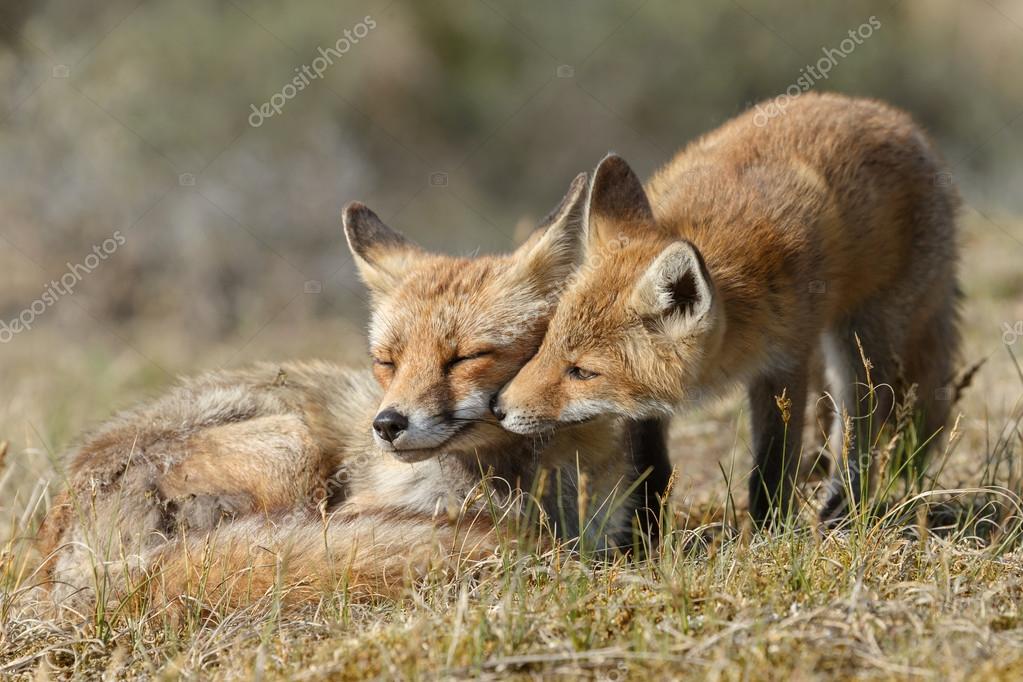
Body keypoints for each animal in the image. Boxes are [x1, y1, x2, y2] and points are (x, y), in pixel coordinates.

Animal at [34, 175, 671, 613]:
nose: (386, 425)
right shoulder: (363, 507)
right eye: (386, 361)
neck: (521, 488)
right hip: (291, 445)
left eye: (465, 357)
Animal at [494, 93, 960, 525]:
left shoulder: (784, 362)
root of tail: (896, 117)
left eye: (582, 372)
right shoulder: (643, 408)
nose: (498, 407)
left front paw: (769, 529)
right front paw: (643, 537)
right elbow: (651, 468)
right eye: (546, 344)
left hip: (859, 340)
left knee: (861, 428)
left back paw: (842, 504)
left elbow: (771, 465)